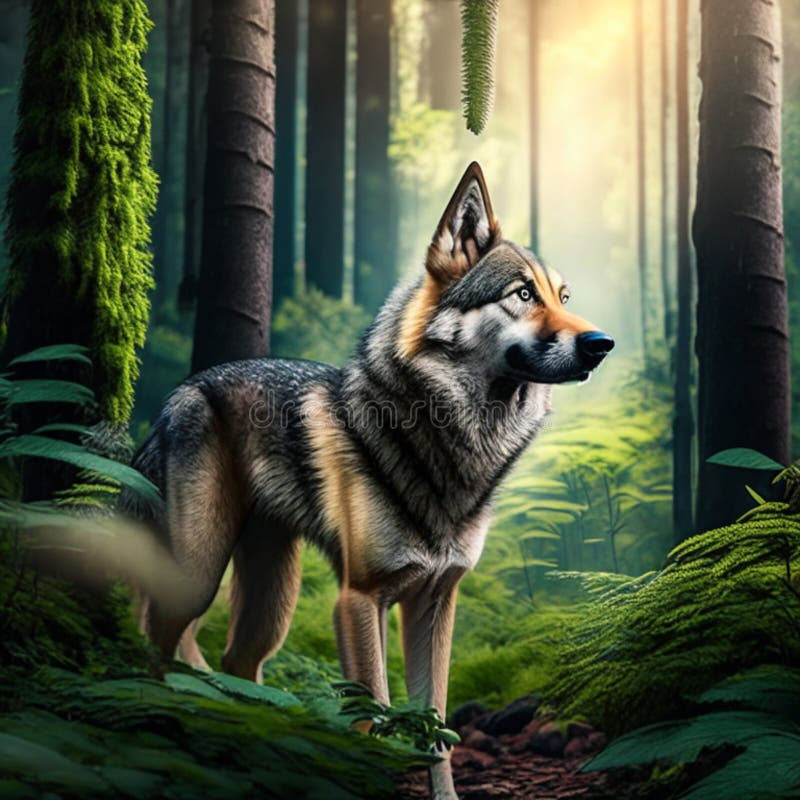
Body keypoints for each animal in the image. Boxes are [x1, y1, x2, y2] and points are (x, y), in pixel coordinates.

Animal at [131, 163, 614, 799]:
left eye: (563, 298)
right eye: (522, 294)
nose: (602, 344)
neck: (452, 446)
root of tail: (180, 393)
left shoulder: (436, 603)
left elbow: (435, 728)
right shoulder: (359, 600)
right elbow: (375, 719)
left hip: (272, 604)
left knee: (236, 664)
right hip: (199, 576)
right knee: (156, 640)